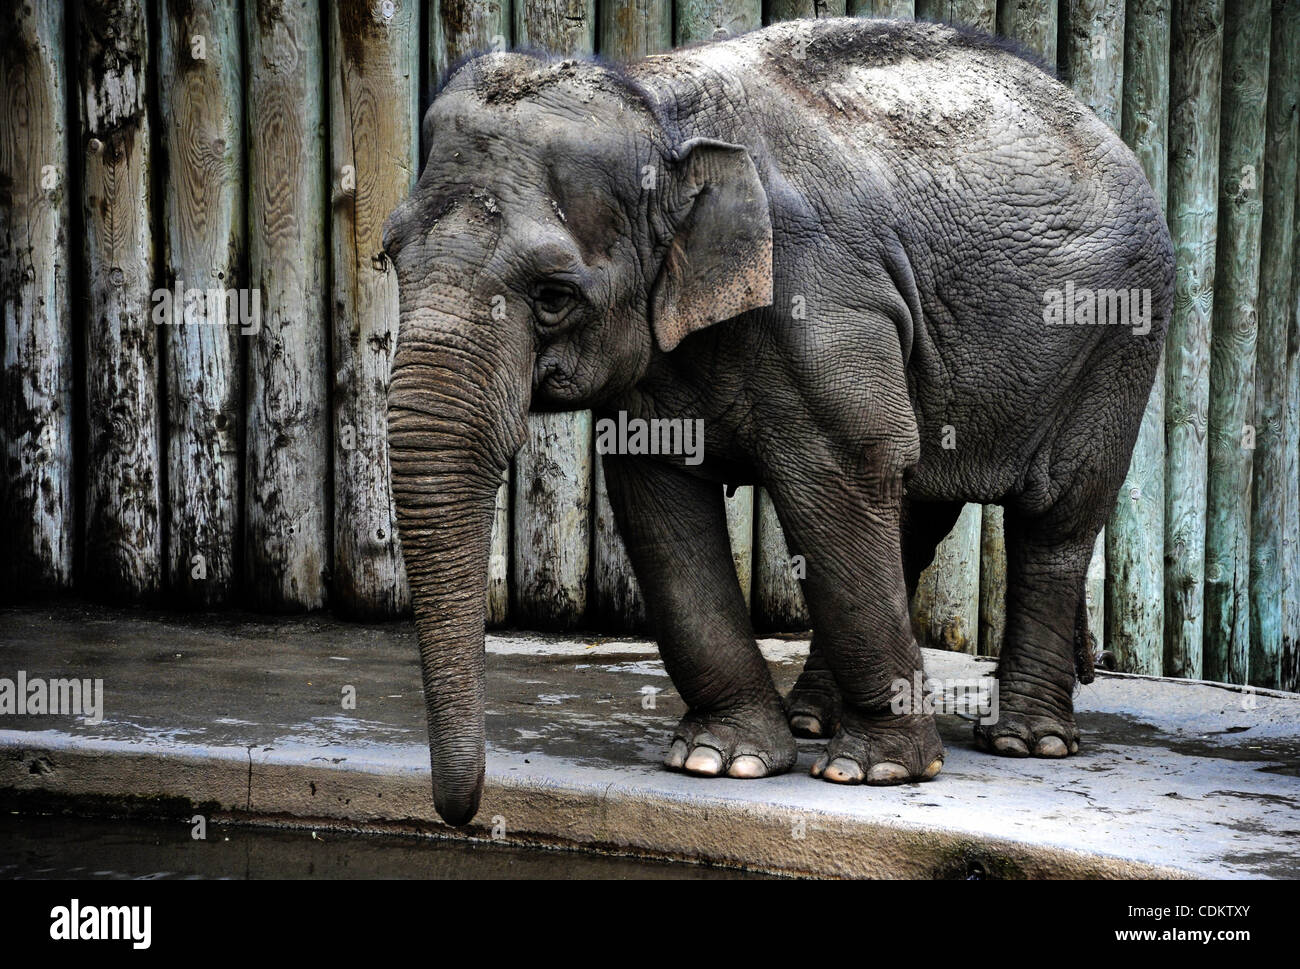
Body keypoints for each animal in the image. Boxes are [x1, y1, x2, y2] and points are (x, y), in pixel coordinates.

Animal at [382, 17, 1174, 825]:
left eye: (552, 295)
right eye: (388, 259)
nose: (464, 814)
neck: (657, 105)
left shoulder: (822, 295)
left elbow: (845, 472)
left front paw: (877, 772)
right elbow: (662, 506)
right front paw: (721, 760)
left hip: (1118, 332)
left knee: (1054, 516)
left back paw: (1024, 742)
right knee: (913, 512)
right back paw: (814, 719)